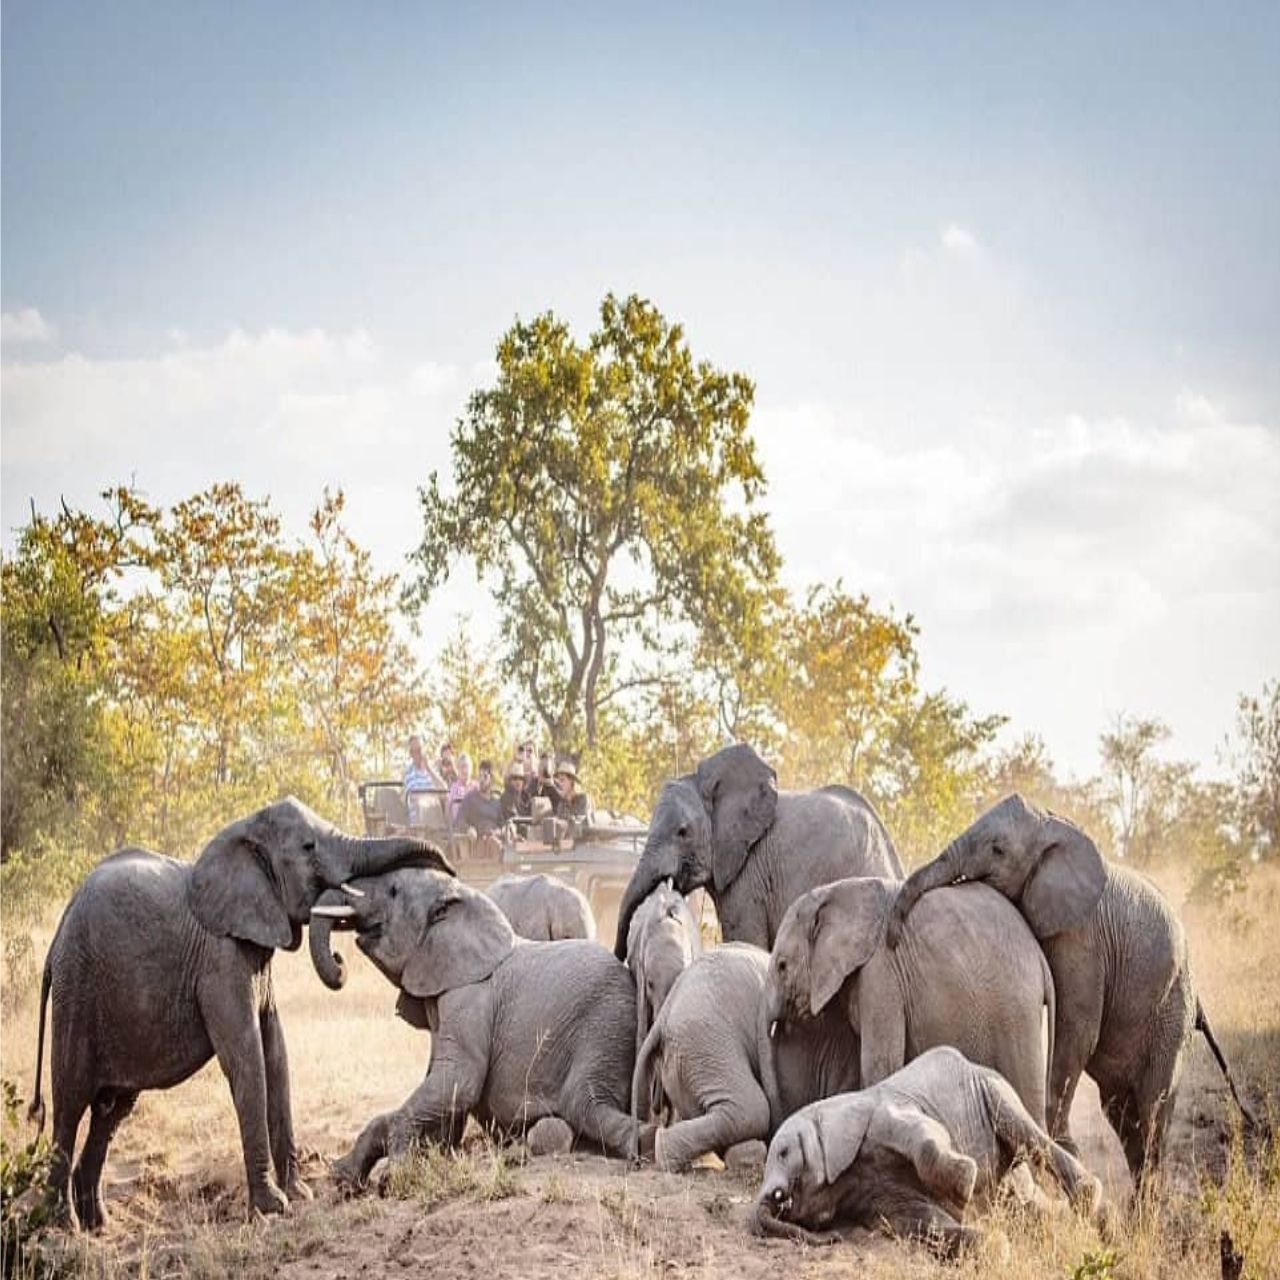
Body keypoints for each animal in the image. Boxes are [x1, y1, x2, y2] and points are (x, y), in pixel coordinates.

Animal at [27, 798, 451, 1229]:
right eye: (308, 847)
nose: (450, 870)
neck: (244, 832)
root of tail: (56, 939)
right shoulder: (220, 959)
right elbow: (247, 1056)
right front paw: (272, 1207)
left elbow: (275, 1054)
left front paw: (299, 1194)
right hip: (77, 988)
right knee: (71, 1099)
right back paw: (65, 1227)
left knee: (111, 1109)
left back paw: (99, 1225)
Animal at [313, 868, 641, 1186]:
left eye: (394, 891)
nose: (339, 960)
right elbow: (441, 1088)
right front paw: (342, 1179)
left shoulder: (470, 998)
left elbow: (459, 1080)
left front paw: (394, 1177)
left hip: (606, 1021)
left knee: (582, 1103)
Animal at [752, 1046, 1103, 1254]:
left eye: (783, 1152)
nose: (834, 1239)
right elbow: (919, 1218)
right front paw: (995, 1247)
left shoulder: (885, 1111)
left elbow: (925, 1133)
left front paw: (965, 1184)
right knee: (1027, 1201)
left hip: (990, 1088)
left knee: (1024, 1132)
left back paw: (1089, 1198)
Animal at [763, 877, 1054, 1127]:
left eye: (782, 966)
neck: (836, 892)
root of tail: (1040, 958)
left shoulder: (881, 974)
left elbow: (880, 1064)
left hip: (1016, 1009)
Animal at [886, 794, 1257, 1183]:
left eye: (998, 850)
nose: (892, 938)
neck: (1051, 823)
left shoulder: (1083, 940)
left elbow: (1077, 1032)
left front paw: (1061, 1144)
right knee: (1123, 1113)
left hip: (1172, 1013)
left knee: (1153, 1107)